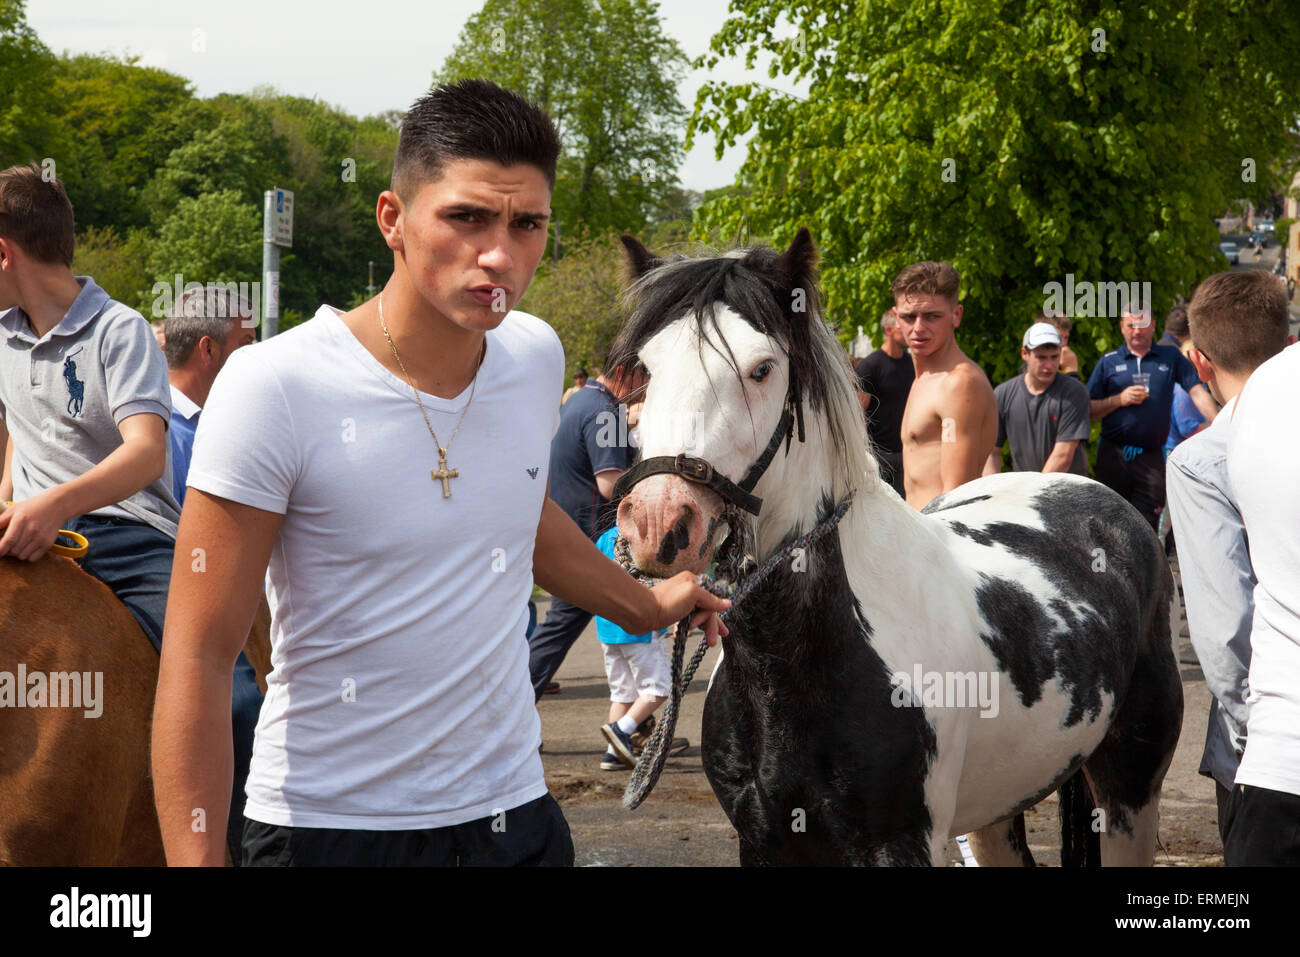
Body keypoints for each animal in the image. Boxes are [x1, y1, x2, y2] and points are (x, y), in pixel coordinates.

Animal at [609, 230, 1183, 866]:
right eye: (644, 368)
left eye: (762, 369)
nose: (658, 521)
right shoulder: (762, 844)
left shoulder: (902, 844)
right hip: (995, 815)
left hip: (1129, 792)